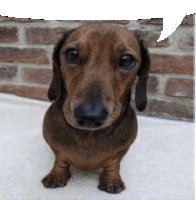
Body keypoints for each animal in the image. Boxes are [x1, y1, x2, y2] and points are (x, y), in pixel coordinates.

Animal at [41, 24, 150, 194]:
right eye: (72, 54)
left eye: (126, 60)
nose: (89, 117)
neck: (89, 137)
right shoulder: (56, 148)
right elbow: (61, 160)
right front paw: (57, 175)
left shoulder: (121, 151)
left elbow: (113, 164)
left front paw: (112, 180)